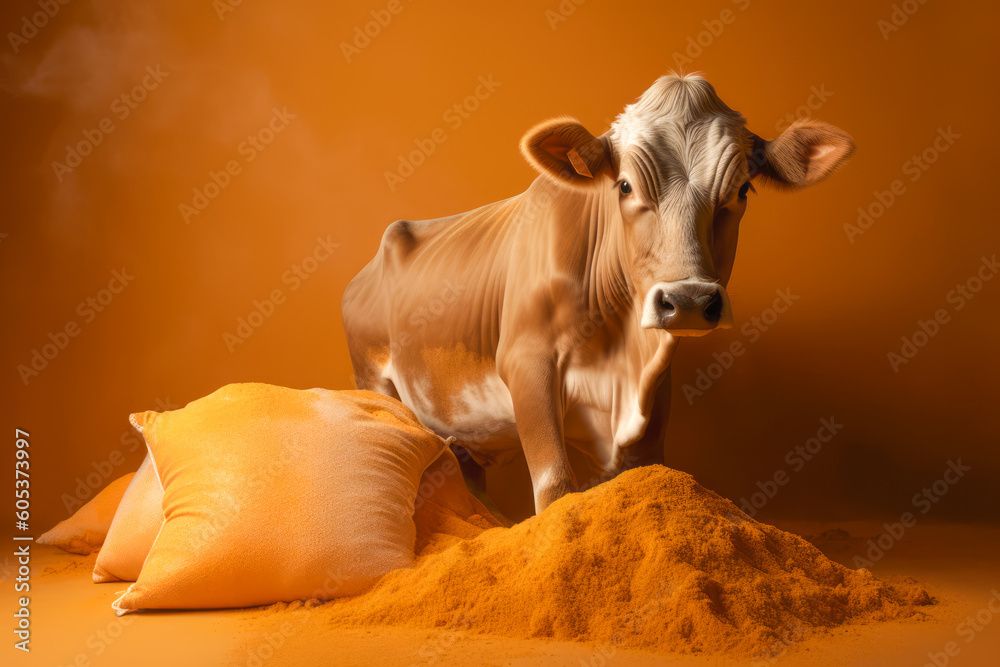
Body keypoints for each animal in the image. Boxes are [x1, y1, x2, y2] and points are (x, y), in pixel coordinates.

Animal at [342, 73, 855, 515]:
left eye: (743, 189)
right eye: (624, 185)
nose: (689, 300)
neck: (619, 350)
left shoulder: (654, 393)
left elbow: (646, 474)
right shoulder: (525, 363)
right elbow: (554, 486)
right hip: (374, 381)